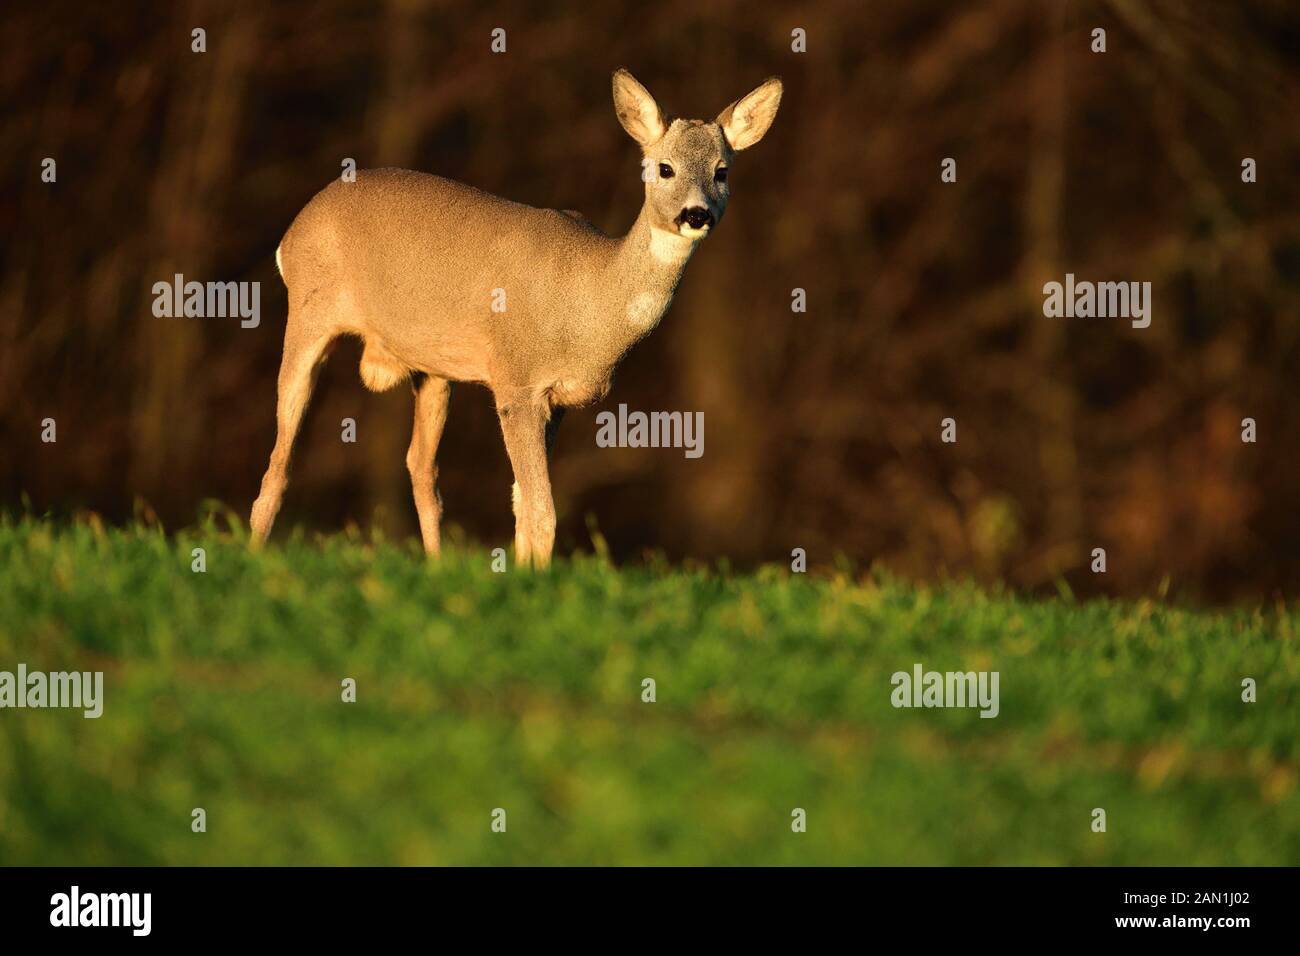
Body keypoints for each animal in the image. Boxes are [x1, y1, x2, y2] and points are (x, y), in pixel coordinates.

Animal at [249, 69, 783, 567]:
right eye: (664, 168)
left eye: (721, 171)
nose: (696, 215)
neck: (589, 297)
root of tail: (291, 233)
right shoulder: (516, 383)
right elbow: (541, 510)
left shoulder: (557, 401)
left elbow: (521, 505)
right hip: (310, 315)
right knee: (278, 463)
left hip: (434, 369)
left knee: (421, 468)